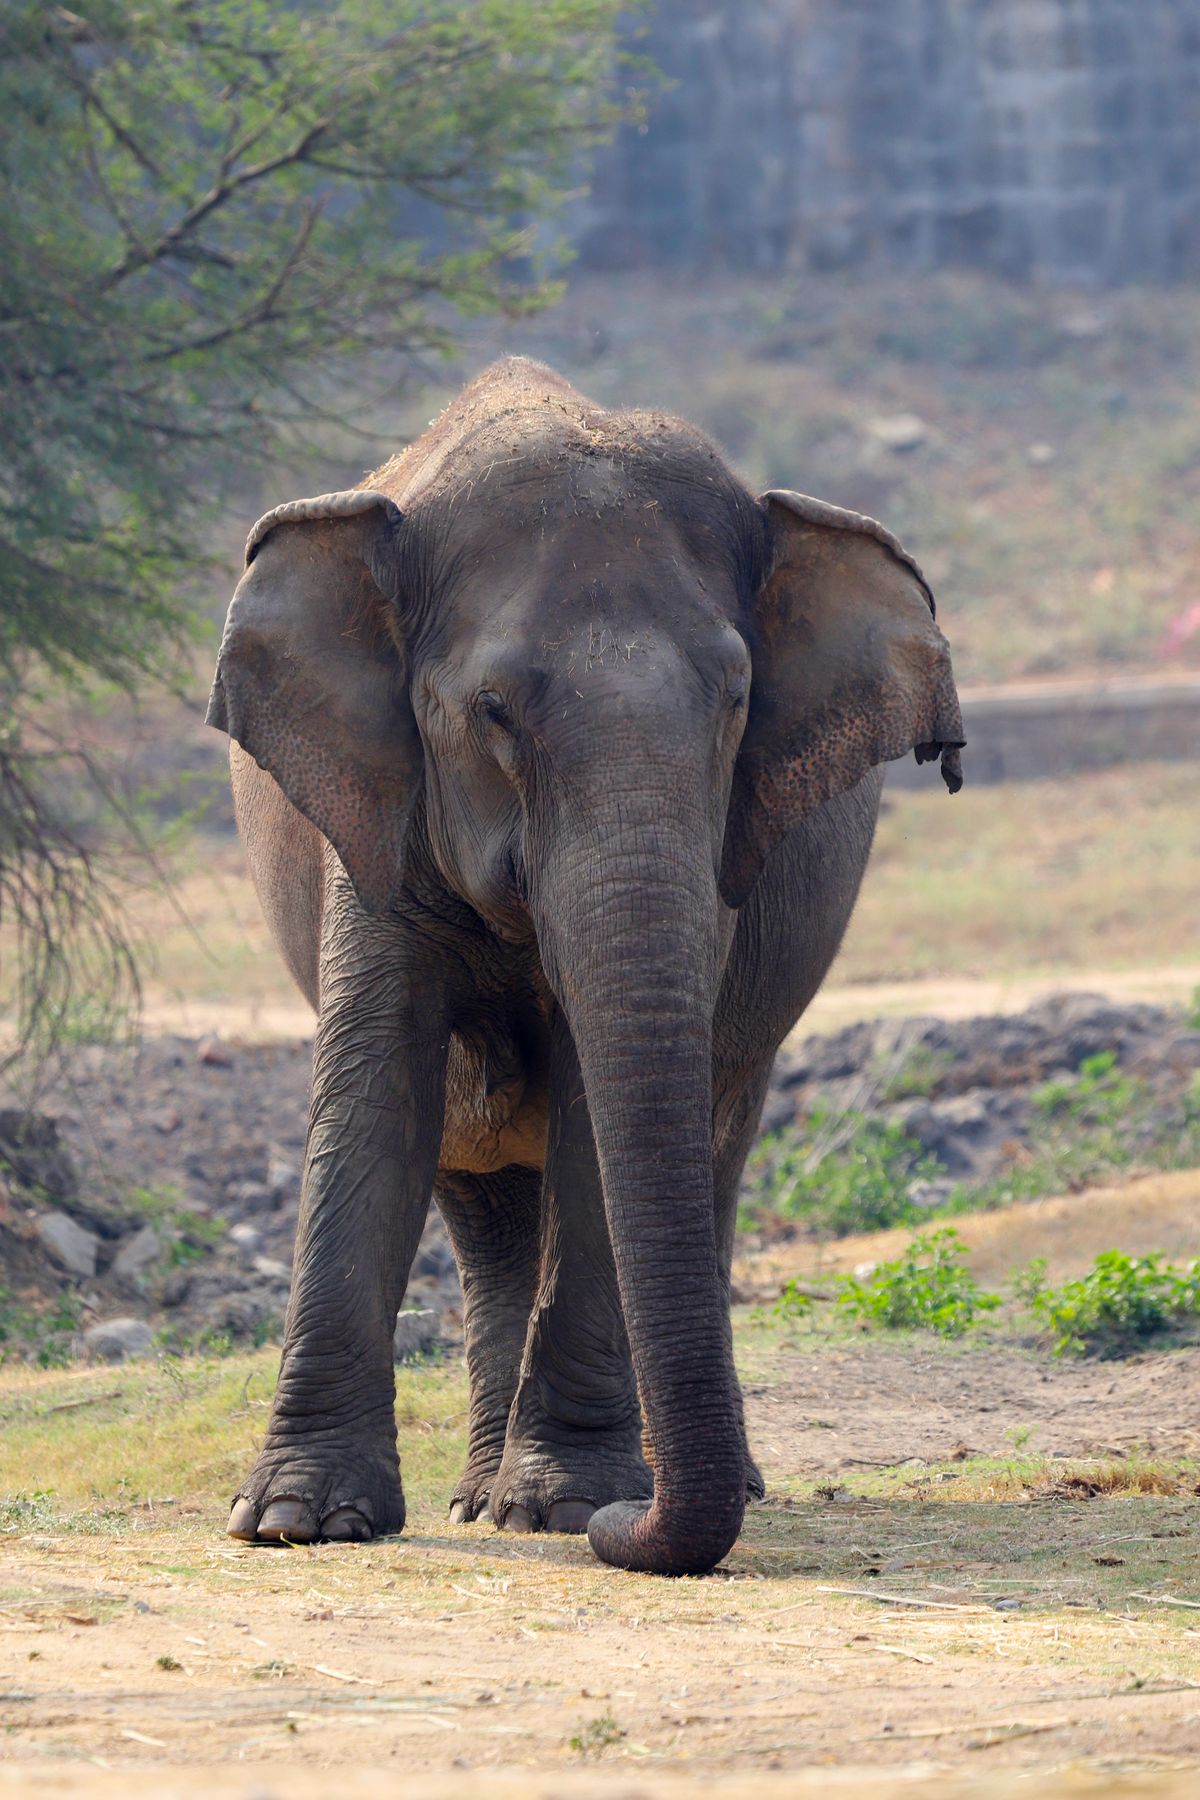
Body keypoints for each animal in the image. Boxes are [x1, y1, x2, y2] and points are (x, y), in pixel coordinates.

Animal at [206, 356, 963, 1577]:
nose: (622, 1530)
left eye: (738, 703)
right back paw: (482, 1493)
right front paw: (294, 1523)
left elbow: (591, 1118)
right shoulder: (372, 813)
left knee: (712, 1148)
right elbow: (379, 1089)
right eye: (493, 711)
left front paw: (568, 1507)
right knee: (480, 1193)